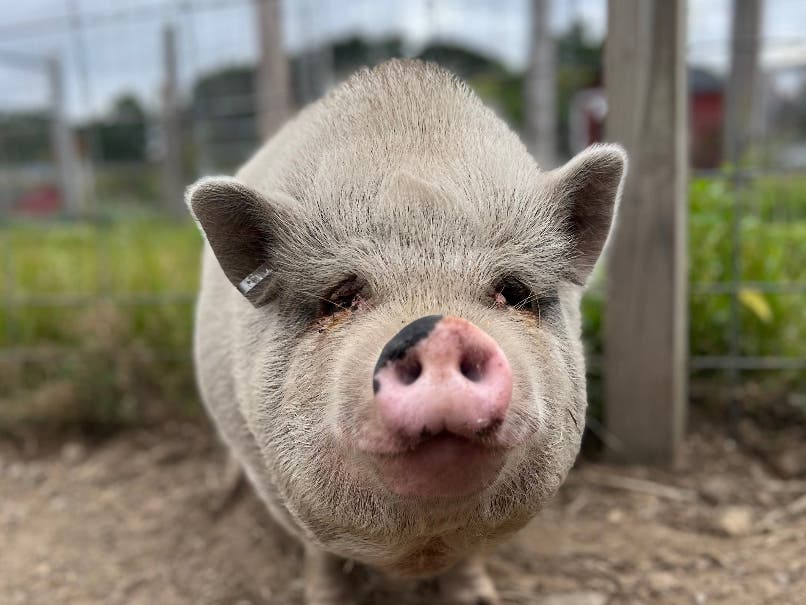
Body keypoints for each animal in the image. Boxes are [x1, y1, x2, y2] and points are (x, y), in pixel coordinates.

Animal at [186, 59, 626, 604]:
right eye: (341, 297)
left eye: (513, 290)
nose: (440, 330)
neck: (419, 552)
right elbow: (320, 554)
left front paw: (479, 598)